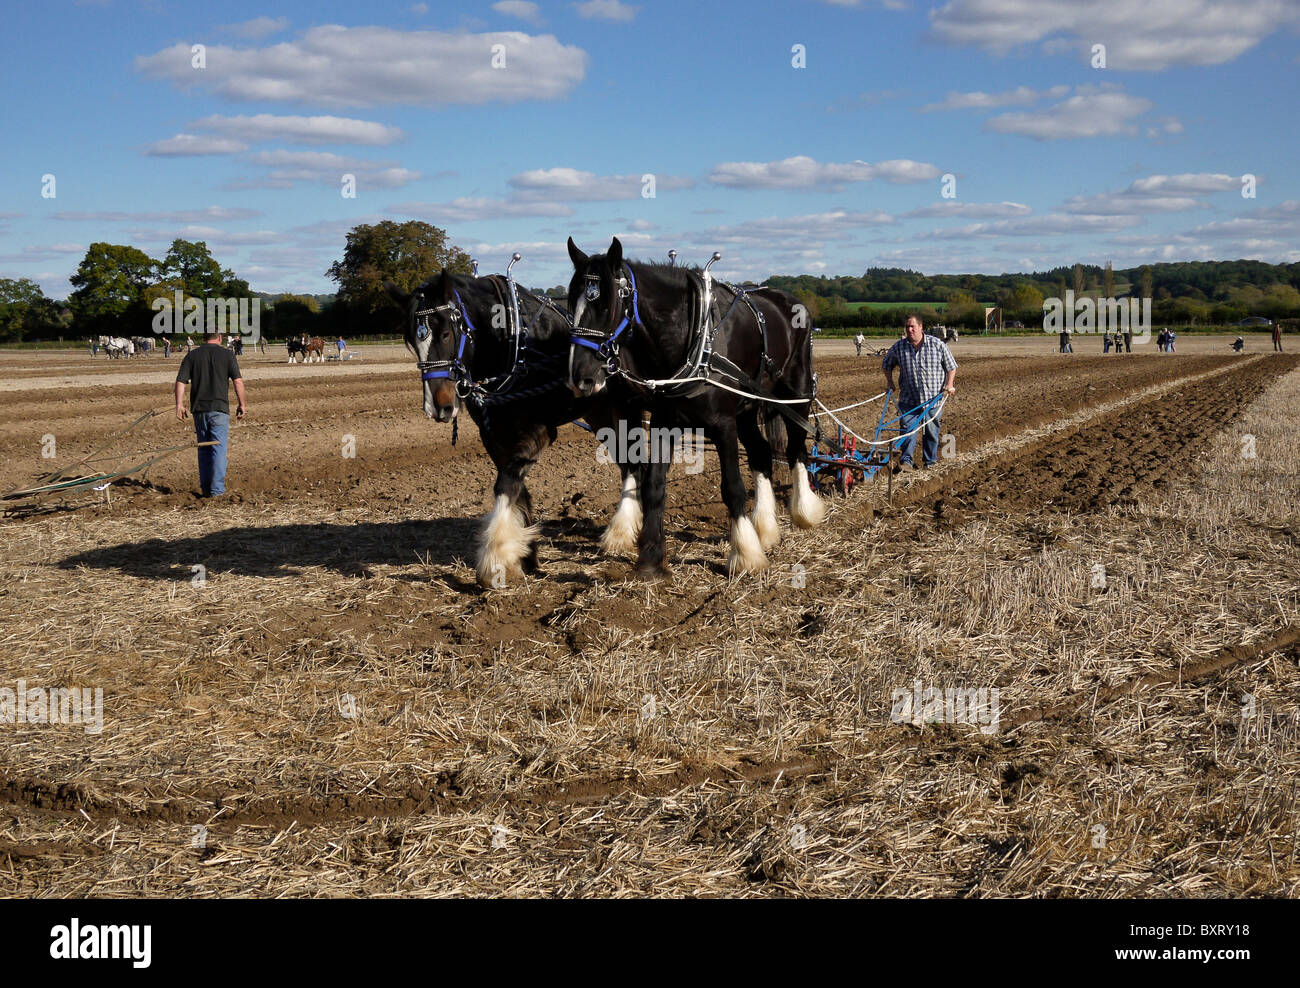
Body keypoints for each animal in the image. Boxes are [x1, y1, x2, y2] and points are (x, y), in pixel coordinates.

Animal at [388, 268, 640, 587]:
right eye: (411, 340)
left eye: (446, 332)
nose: (439, 407)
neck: (512, 343)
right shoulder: (492, 436)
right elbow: (517, 489)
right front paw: (526, 555)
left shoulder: (540, 431)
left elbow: (506, 483)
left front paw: (496, 558)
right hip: (599, 412)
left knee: (634, 461)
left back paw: (621, 532)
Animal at [566, 237, 826, 577]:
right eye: (570, 303)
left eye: (606, 304)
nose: (579, 377)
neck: (692, 339)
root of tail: (791, 301)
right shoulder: (663, 421)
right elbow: (653, 484)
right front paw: (650, 558)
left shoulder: (723, 424)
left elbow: (732, 487)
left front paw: (745, 555)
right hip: (747, 408)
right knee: (761, 454)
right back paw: (765, 528)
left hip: (795, 394)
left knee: (797, 448)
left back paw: (804, 511)